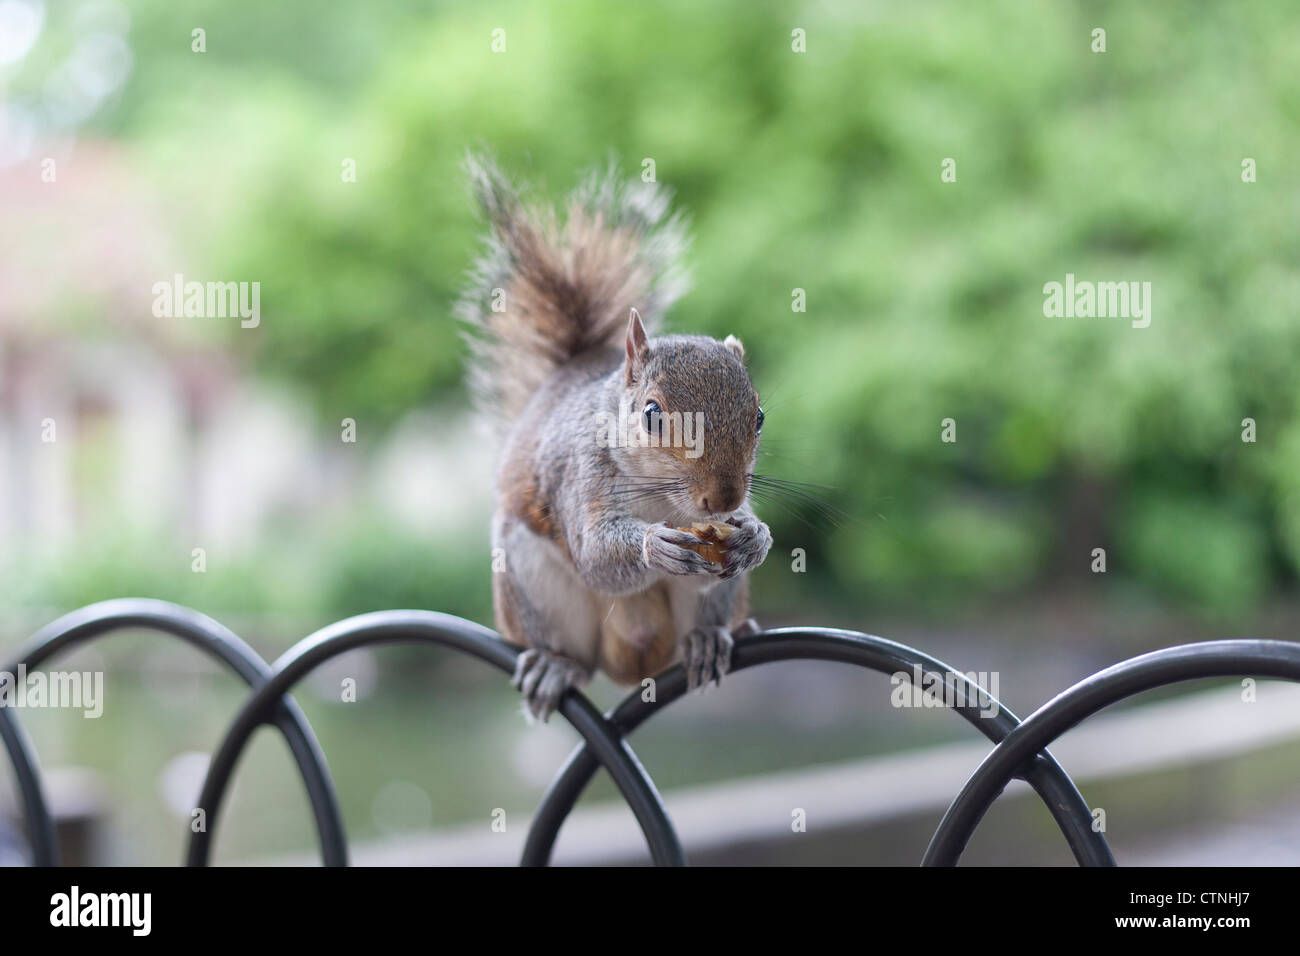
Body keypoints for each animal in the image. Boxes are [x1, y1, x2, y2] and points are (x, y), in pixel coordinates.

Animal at [457, 156, 772, 721]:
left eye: (758, 416)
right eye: (651, 414)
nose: (724, 498)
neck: (662, 498)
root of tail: (634, 662)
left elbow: (731, 545)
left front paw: (754, 535)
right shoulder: (578, 477)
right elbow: (595, 553)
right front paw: (652, 546)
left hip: (713, 600)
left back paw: (706, 641)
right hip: (530, 581)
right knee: (574, 656)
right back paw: (556, 666)